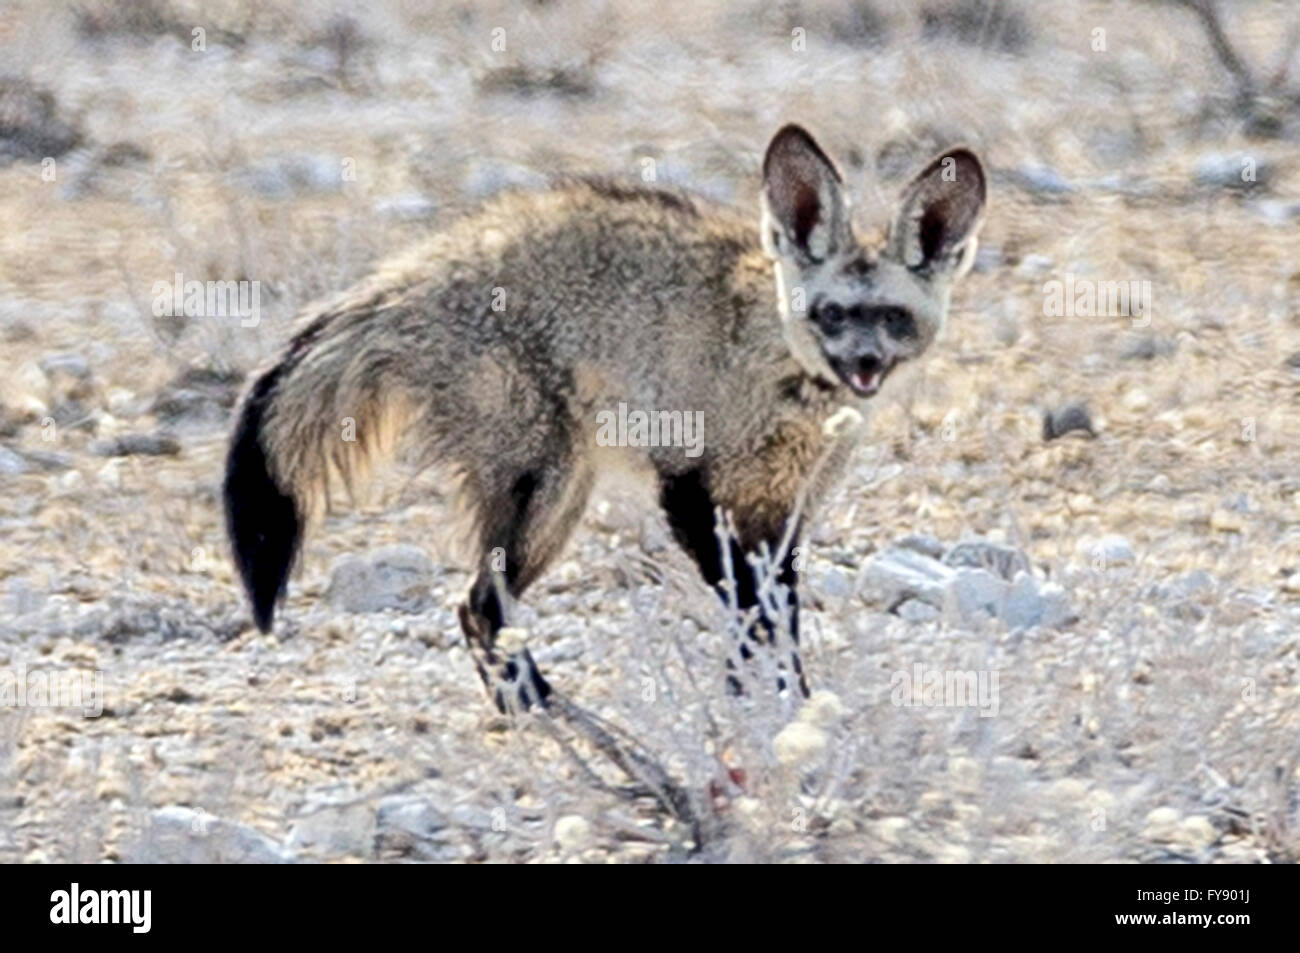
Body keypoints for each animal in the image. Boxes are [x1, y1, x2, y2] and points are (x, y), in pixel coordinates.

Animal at [223, 124, 987, 710]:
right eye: (831, 313)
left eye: (892, 317)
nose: (863, 364)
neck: (783, 374)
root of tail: (420, 273)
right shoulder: (691, 481)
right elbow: (752, 611)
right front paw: (778, 702)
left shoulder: (786, 506)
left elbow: (773, 613)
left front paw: (763, 702)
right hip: (547, 484)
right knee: (480, 603)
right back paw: (538, 704)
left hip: (559, 491)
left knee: (479, 604)